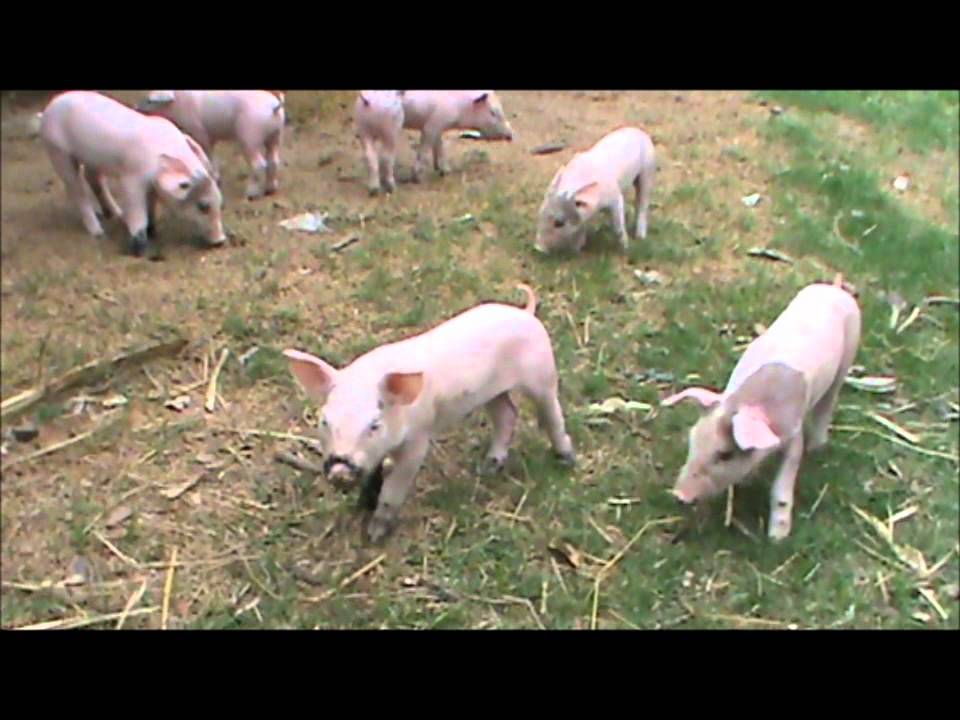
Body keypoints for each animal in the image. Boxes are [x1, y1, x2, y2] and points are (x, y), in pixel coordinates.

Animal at [38, 91, 225, 257]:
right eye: (203, 206)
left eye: (220, 201)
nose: (221, 241)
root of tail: (48, 109)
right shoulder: (131, 179)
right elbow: (137, 211)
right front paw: (139, 249)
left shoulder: (152, 186)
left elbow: (150, 207)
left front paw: (153, 231)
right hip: (58, 152)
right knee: (77, 190)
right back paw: (99, 233)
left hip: (92, 160)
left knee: (94, 180)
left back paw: (117, 214)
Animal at [136, 90, 285, 200]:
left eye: (150, 100)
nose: (137, 108)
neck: (177, 103)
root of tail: (274, 107)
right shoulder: (211, 135)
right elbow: (211, 154)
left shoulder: (199, 132)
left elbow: (207, 152)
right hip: (275, 135)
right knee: (274, 160)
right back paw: (270, 190)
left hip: (250, 136)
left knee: (259, 164)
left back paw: (251, 194)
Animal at [284, 284, 576, 543]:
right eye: (324, 421)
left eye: (374, 425)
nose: (339, 467)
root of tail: (526, 313)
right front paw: (362, 505)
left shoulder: (418, 440)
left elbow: (394, 488)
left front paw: (374, 535)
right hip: (492, 392)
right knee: (507, 414)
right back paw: (487, 468)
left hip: (542, 374)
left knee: (551, 412)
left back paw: (567, 460)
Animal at [660, 276, 861, 540]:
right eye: (692, 441)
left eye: (725, 454)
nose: (679, 496)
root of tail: (835, 288)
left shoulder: (793, 434)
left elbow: (783, 486)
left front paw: (777, 539)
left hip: (848, 356)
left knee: (827, 404)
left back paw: (817, 448)